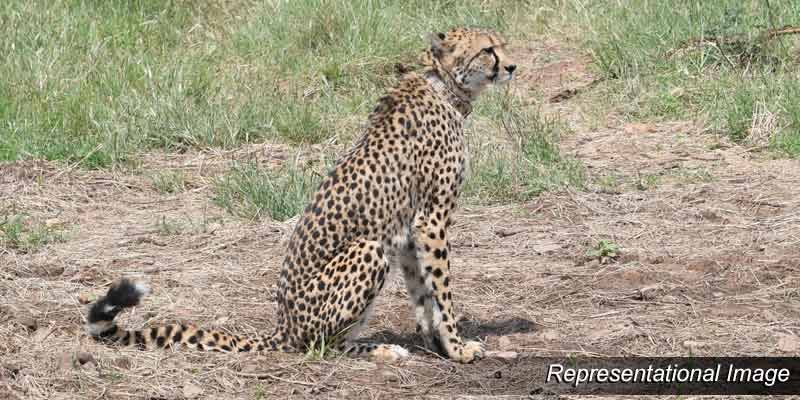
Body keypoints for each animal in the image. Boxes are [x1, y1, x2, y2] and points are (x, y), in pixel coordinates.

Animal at [85, 27, 516, 363]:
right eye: (487, 49)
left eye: (502, 45)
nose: (512, 66)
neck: (444, 87)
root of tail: (283, 327)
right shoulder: (431, 219)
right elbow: (441, 289)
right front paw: (458, 347)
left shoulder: (410, 229)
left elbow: (422, 291)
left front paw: (436, 343)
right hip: (368, 249)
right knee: (320, 345)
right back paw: (378, 350)